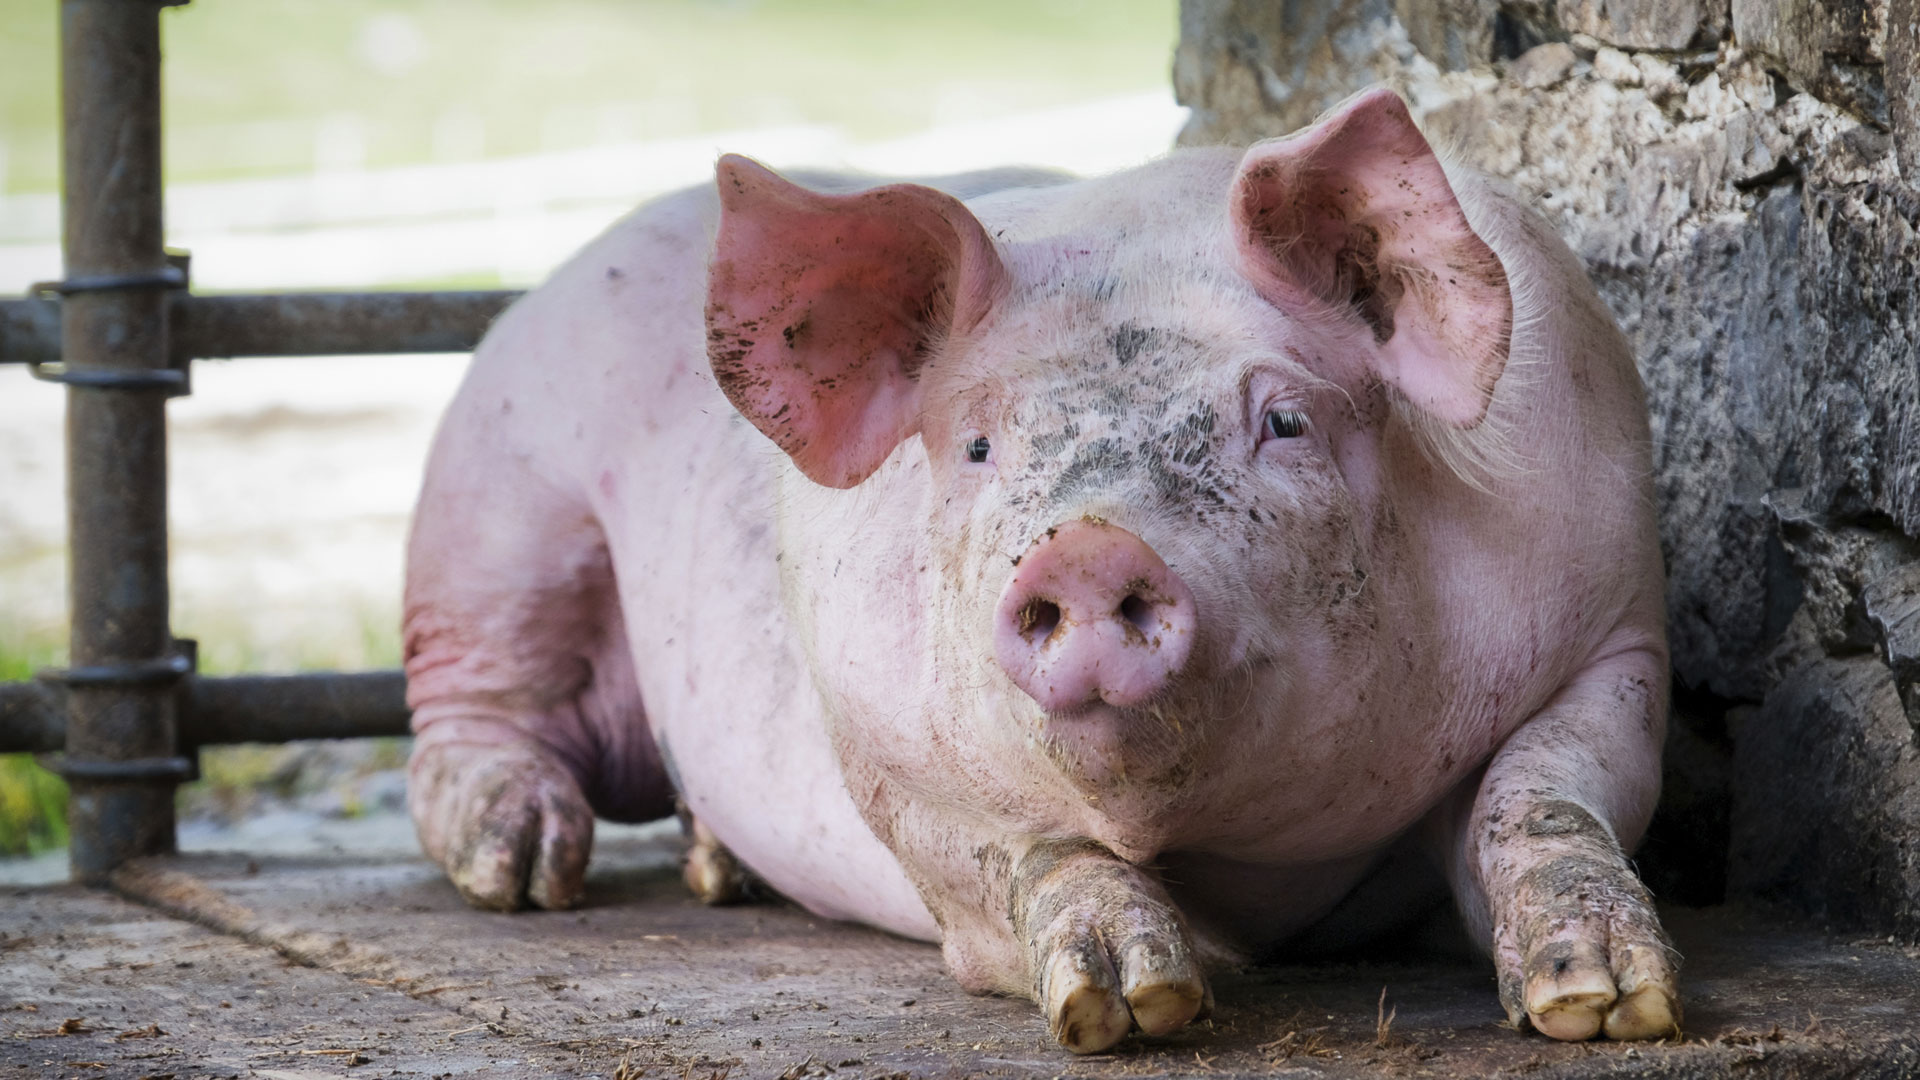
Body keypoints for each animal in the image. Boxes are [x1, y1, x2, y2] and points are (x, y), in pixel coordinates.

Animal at [404, 88, 1679, 1053]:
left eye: (1284, 422)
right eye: (977, 447)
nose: (1091, 544)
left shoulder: (1615, 625)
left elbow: (1540, 795)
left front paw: (1601, 1007)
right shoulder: (876, 750)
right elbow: (1021, 849)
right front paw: (1132, 1007)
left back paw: (719, 872)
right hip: (494, 513)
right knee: (474, 717)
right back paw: (525, 869)